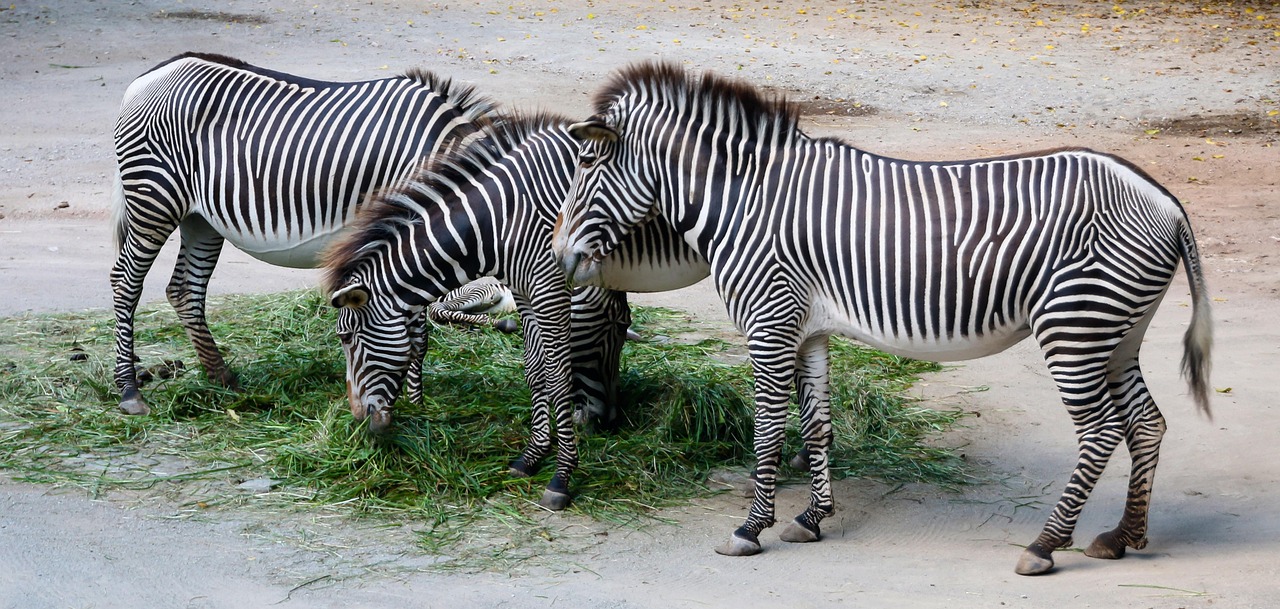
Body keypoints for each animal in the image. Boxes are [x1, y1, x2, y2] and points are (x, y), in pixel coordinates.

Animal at [110, 52, 533, 417]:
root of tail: (148, 77)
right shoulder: (402, 238)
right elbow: (416, 331)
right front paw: (414, 405)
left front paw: (416, 402)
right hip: (154, 199)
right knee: (126, 283)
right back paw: (130, 391)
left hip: (201, 219)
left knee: (185, 291)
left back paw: (223, 378)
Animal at [323, 111, 708, 509]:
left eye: (346, 337)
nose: (359, 419)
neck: (498, 221)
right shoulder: (524, 291)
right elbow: (534, 369)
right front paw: (532, 456)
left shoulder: (550, 287)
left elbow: (558, 377)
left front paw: (561, 476)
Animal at [551, 62, 1212, 575]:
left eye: (586, 163)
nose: (559, 257)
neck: (744, 201)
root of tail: (1167, 201)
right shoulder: (807, 328)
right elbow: (816, 425)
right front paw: (812, 518)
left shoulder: (769, 321)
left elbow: (768, 430)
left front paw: (749, 529)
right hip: (1116, 333)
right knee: (1147, 424)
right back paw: (1122, 537)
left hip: (1074, 328)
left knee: (1100, 432)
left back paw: (1046, 545)